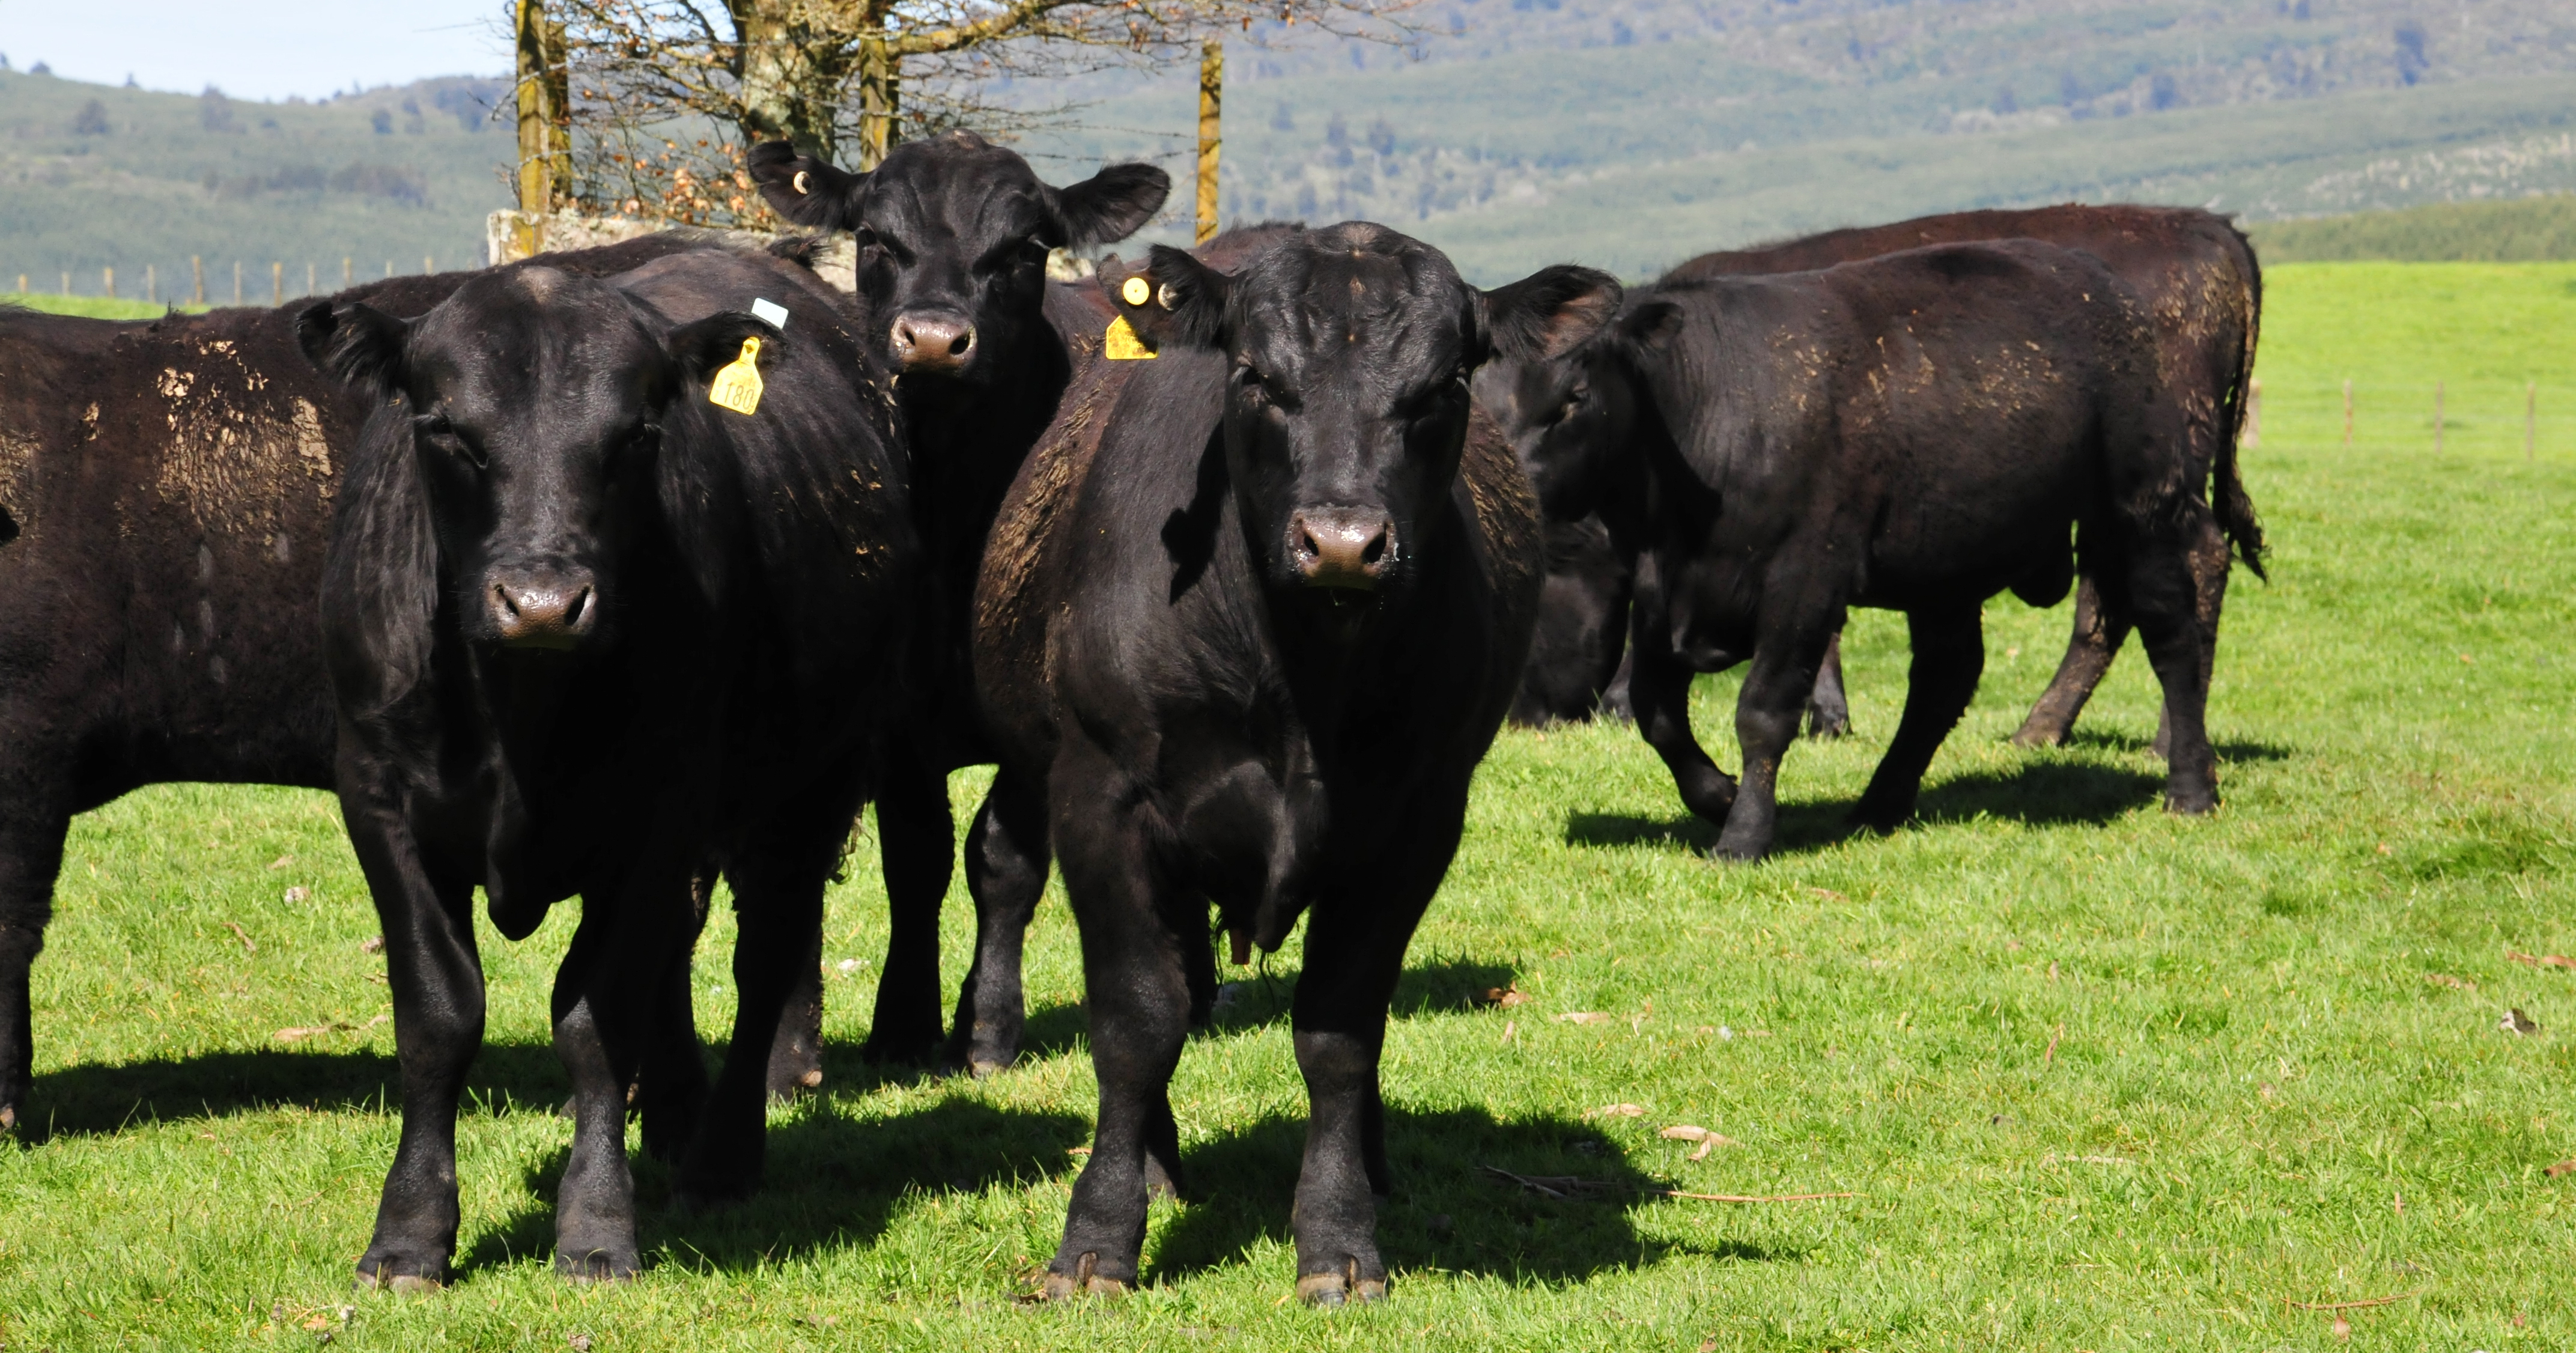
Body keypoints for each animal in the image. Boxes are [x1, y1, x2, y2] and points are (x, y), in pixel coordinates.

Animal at [295, 246, 917, 1286]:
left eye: (637, 434)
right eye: (445, 426)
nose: (543, 603)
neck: (520, 715)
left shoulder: (664, 813)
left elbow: (594, 1017)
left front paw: (594, 1226)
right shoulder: (377, 801)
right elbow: (438, 1015)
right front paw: (410, 1232)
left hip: (810, 785)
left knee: (764, 962)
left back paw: (717, 1159)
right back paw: (669, 1117)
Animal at [747, 131, 1171, 1074]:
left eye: (1022, 249)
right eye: (875, 239)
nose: (935, 340)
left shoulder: (1038, 720)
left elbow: (1003, 861)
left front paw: (986, 1025)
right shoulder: (900, 720)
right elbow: (919, 858)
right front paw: (904, 1022)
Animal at [968, 222, 1612, 1303]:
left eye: (1445, 384)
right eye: (1256, 376)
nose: (1343, 543)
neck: (1298, 673)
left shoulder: (1416, 820)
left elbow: (1343, 1029)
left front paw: (1339, 1236)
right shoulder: (1105, 799)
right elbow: (1137, 1020)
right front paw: (1100, 1236)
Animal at [1487, 203, 2264, 746]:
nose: (1522, 714)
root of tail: (2210, 226)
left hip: (2155, 483)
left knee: (2193, 564)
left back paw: (2153, 736)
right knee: (2113, 600)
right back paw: (2048, 728)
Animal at [1573, 240, 2221, 862]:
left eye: (1576, 392)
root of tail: (2106, 286)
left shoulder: (1802, 588)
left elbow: (1762, 712)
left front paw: (1743, 835)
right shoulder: (1661, 599)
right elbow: (1656, 711)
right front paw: (1719, 796)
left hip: (2142, 515)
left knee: (2172, 637)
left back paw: (2191, 789)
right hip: (1948, 571)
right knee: (1944, 678)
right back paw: (1880, 803)